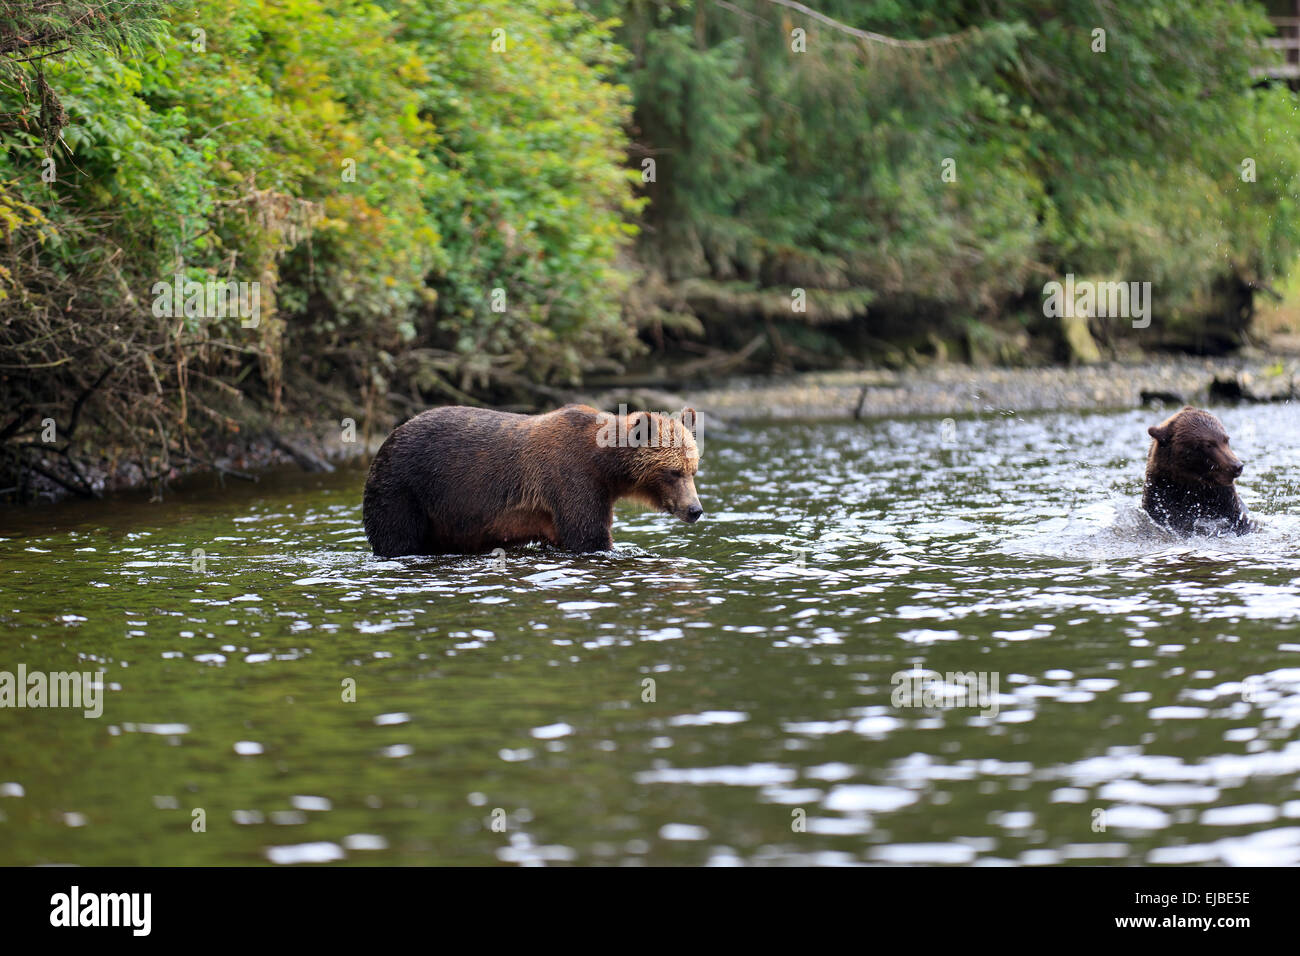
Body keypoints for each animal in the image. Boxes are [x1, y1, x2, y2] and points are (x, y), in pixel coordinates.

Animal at [362, 404, 703, 556]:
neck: (605, 467)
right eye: (672, 471)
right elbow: (588, 534)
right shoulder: (572, 478)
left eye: (693, 469)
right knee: (397, 536)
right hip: (405, 489)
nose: (695, 510)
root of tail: (389, 438)